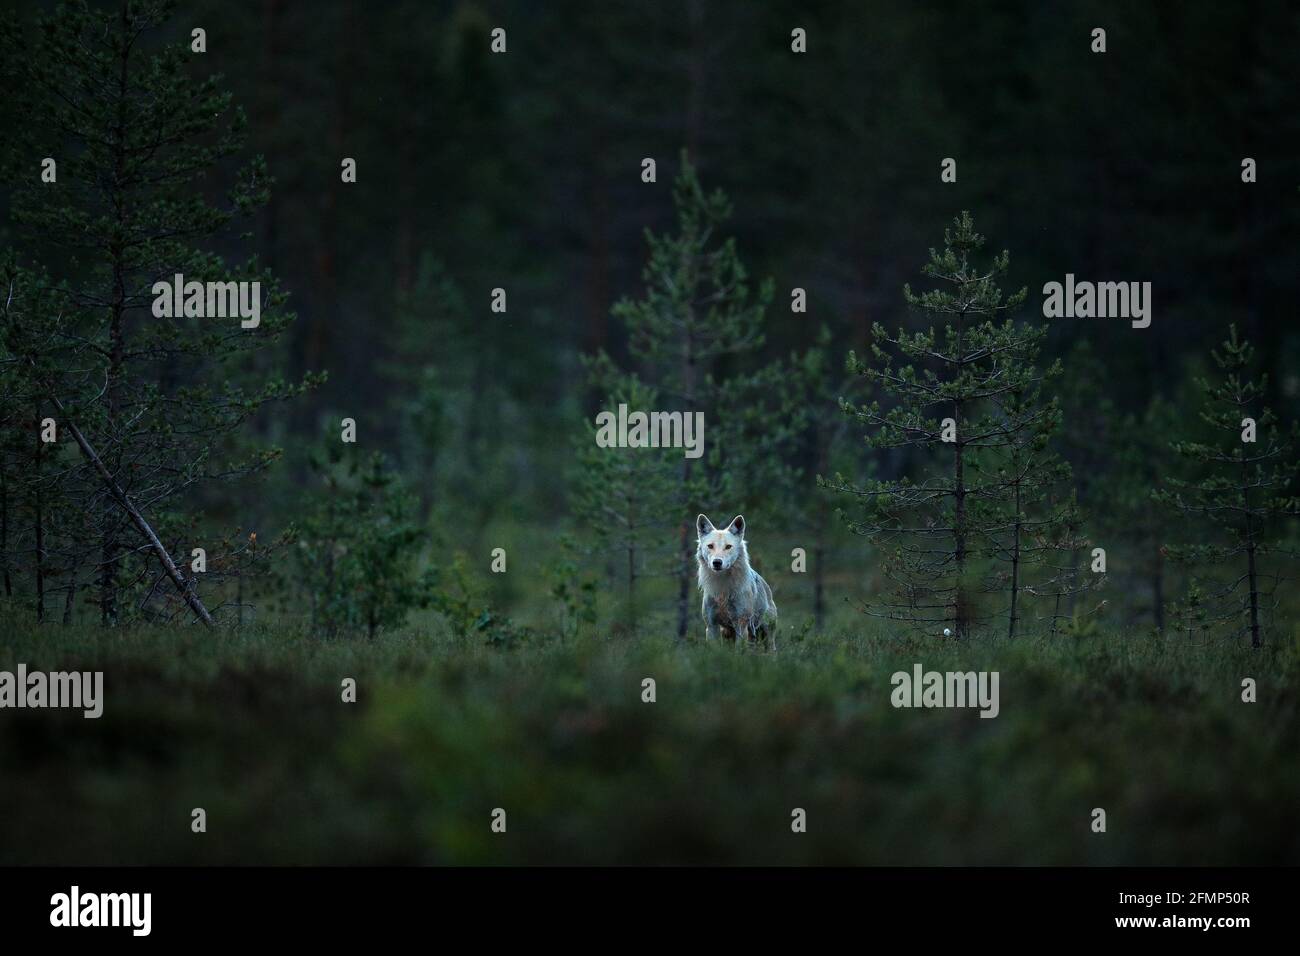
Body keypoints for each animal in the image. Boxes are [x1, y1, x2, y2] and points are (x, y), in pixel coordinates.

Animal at [696, 514, 778, 651]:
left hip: (766, 636)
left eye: (728, 546)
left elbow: (738, 652)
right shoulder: (711, 626)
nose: (717, 562)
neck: (722, 590)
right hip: (729, 634)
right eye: (710, 546)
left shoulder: (741, 626)